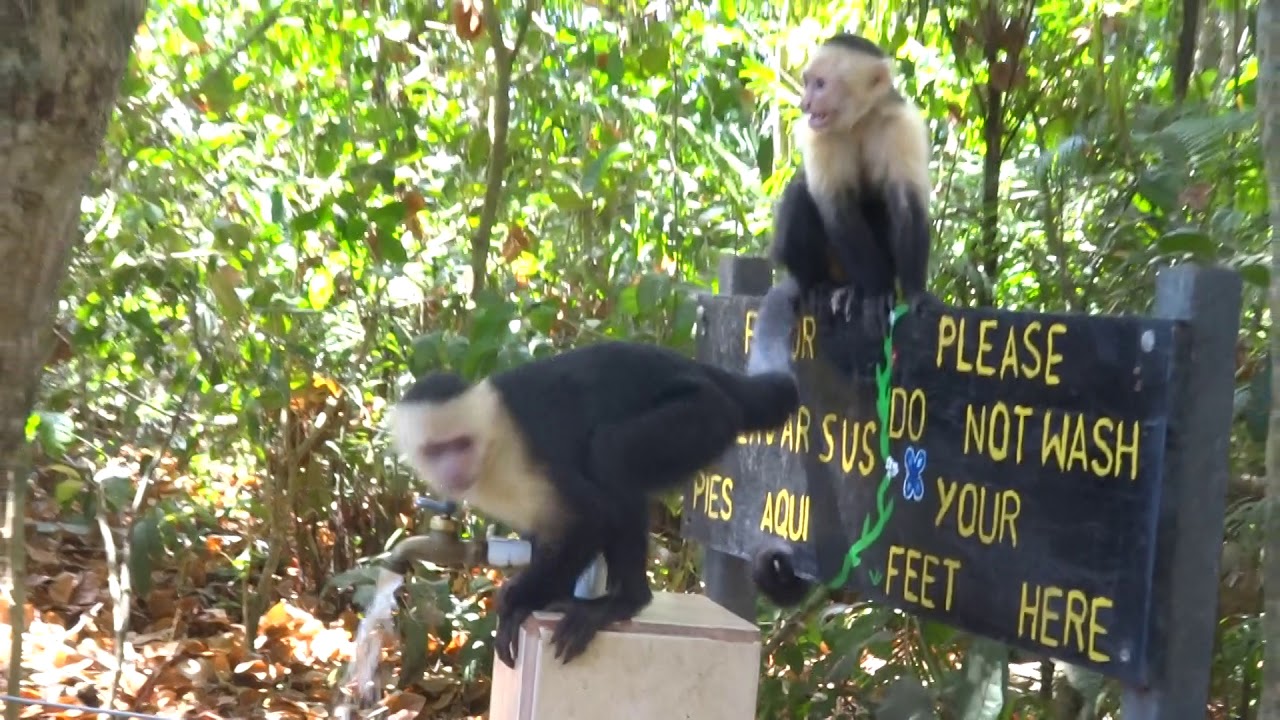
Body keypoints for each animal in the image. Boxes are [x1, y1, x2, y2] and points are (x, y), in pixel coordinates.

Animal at [388, 340, 799, 667]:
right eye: (436, 450)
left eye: (461, 444)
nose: (452, 468)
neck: (490, 446)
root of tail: (698, 368)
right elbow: (547, 534)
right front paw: (543, 596)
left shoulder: (519, 462)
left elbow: (590, 518)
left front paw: (519, 598)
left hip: (705, 414)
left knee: (610, 455)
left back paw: (624, 602)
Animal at [769, 32, 935, 338]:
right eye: (808, 82)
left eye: (821, 85)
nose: (804, 104)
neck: (859, 120)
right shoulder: (816, 134)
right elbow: (838, 210)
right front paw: (878, 292)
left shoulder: (903, 125)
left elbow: (907, 205)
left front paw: (914, 292)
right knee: (800, 195)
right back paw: (820, 287)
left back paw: (854, 291)